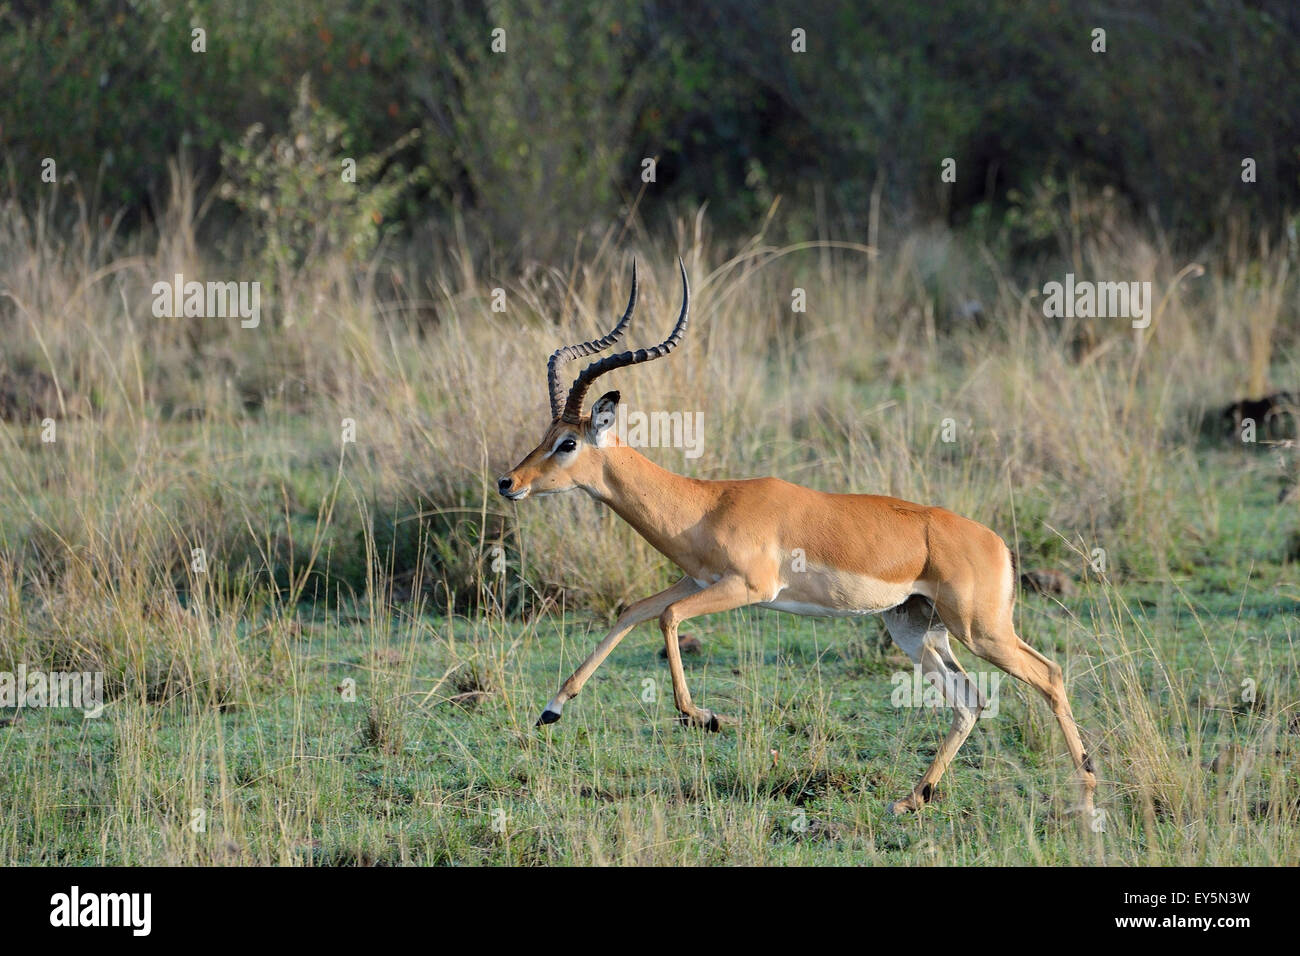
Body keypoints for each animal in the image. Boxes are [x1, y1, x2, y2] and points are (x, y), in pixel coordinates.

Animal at [498, 261, 1097, 816]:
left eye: (569, 443)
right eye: (546, 434)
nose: (509, 482)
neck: (708, 503)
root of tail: (995, 542)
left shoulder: (746, 588)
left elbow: (666, 618)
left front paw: (706, 717)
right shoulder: (698, 579)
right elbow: (634, 611)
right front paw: (552, 708)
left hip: (981, 629)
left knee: (1048, 674)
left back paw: (1088, 794)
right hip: (917, 629)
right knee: (969, 700)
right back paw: (911, 799)